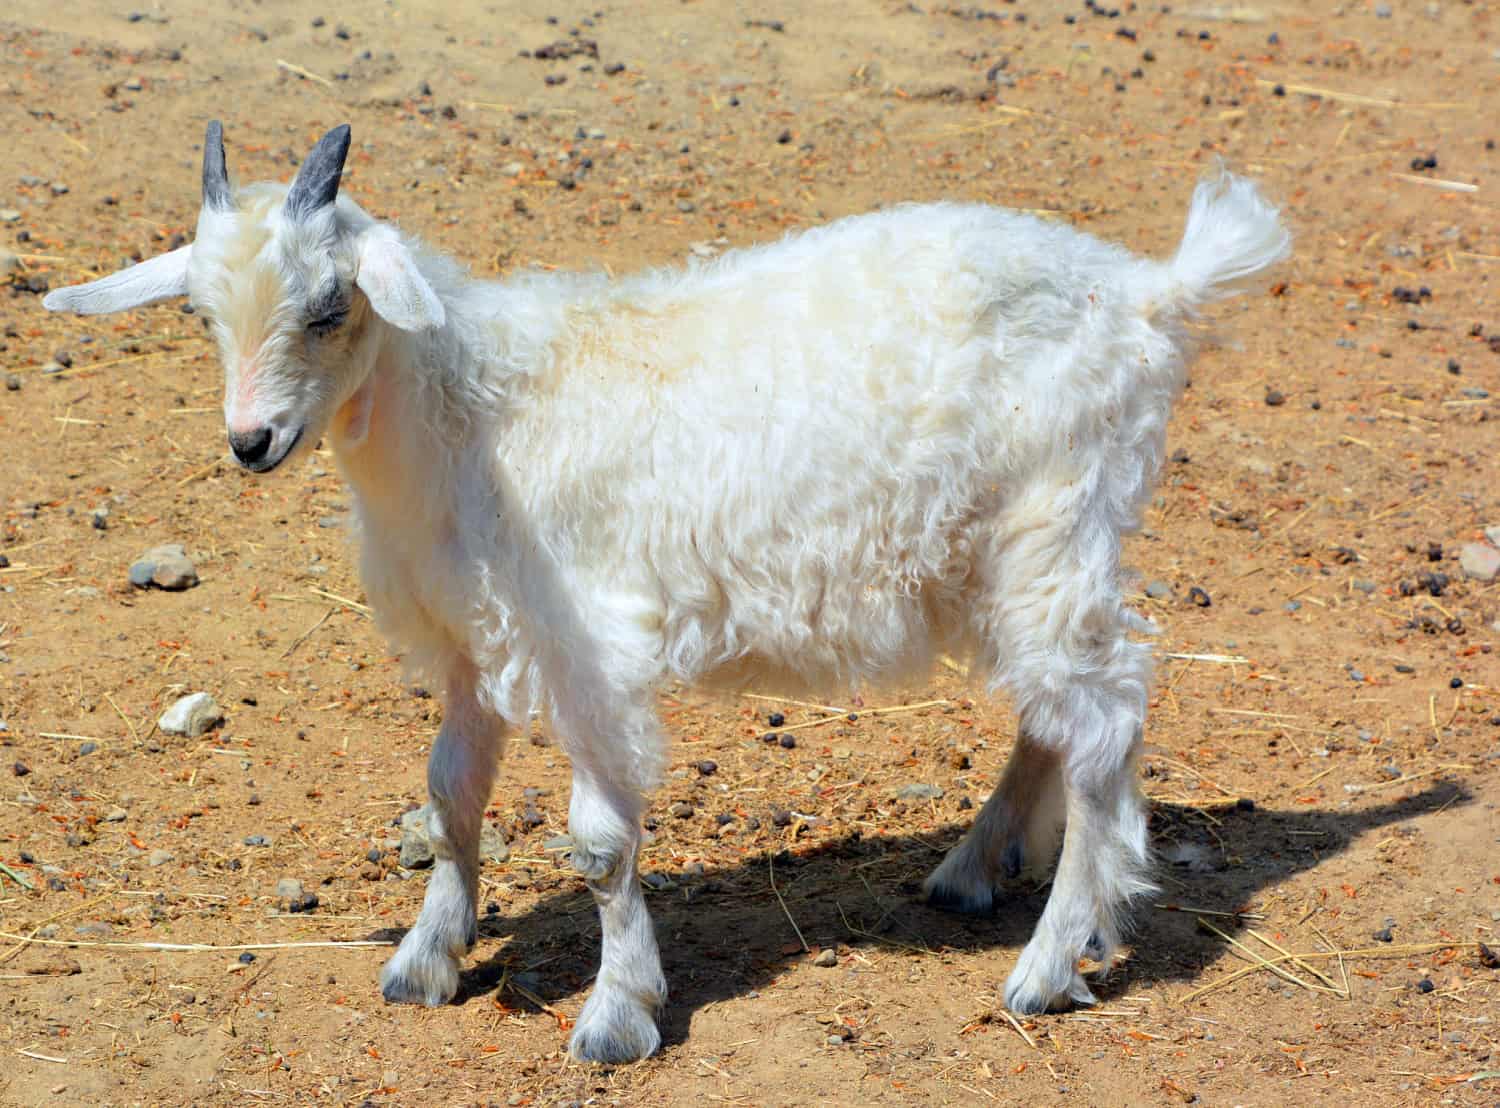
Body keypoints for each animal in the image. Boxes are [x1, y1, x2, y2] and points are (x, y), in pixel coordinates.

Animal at [46, 121, 1290, 1063]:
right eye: (204, 313)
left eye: (327, 307)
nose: (251, 442)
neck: (470, 413)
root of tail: (1147, 290)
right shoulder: (474, 640)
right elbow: (449, 798)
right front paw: (426, 959)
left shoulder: (588, 647)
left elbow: (599, 844)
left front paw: (617, 1013)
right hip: (994, 556)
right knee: (1055, 713)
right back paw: (976, 867)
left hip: (1056, 524)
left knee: (1104, 717)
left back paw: (1047, 960)